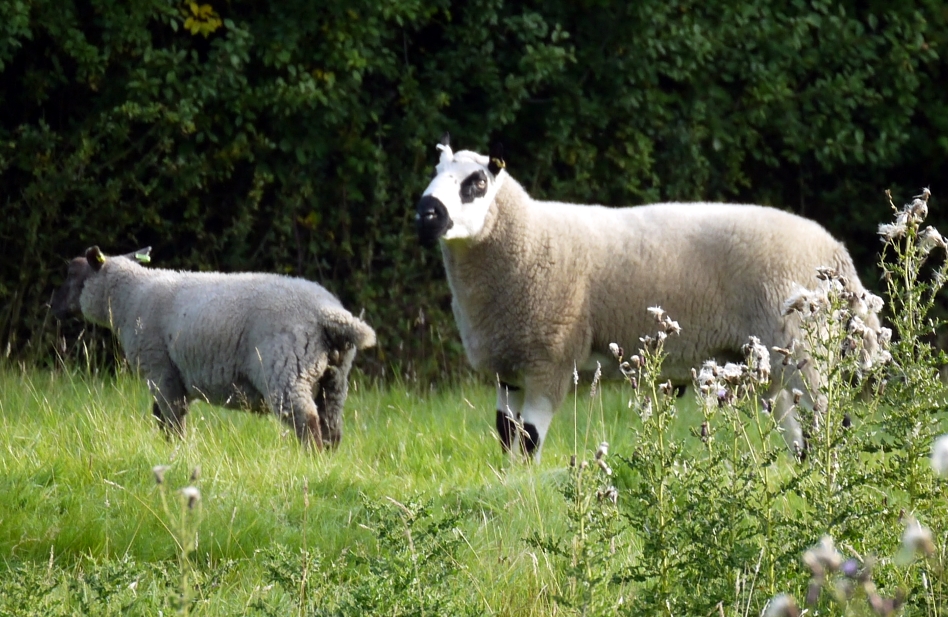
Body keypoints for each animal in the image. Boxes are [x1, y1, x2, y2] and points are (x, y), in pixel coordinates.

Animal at [51, 246, 376, 449]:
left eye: (72, 274)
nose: (51, 306)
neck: (129, 298)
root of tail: (328, 314)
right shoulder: (172, 376)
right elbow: (161, 417)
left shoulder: (160, 369)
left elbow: (171, 419)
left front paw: (176, 451)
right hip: (334, 380)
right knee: (331, 428)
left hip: (286, 370)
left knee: (307, 422)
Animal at [415, 135, 880, 460]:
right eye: (434, 172)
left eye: (476, 183)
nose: (426, 215)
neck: (527, 239)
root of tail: (833, 250)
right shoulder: (509, 367)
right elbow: (505, 434)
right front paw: (509, 481)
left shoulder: (550, 357)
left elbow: (528, 440)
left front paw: (525, 489)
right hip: (767, 357)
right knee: (796, 428)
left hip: (804, 346)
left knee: (830, 417)